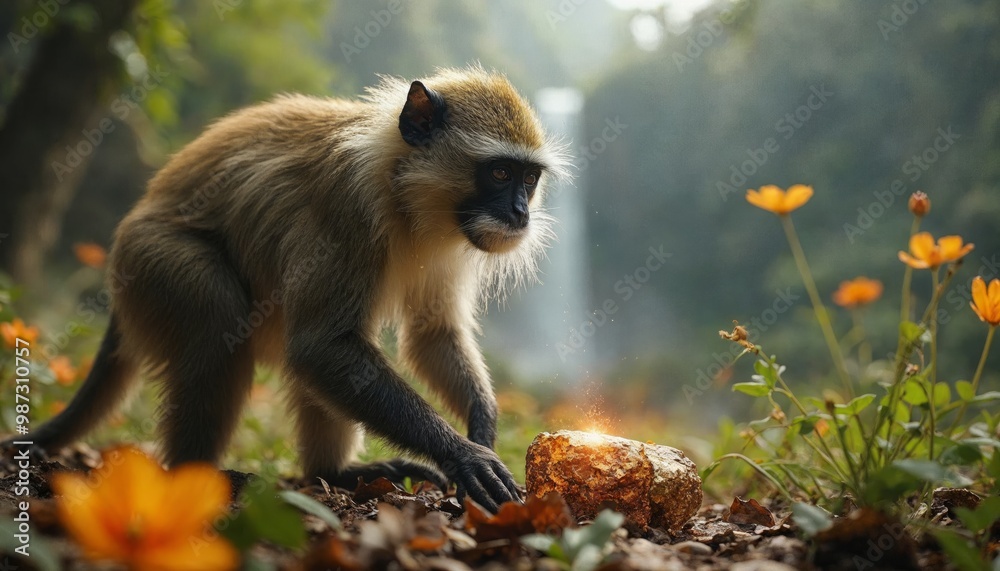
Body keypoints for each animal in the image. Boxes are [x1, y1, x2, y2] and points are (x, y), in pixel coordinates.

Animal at [14, 67, 568, 512]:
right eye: (500, 172)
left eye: (529, 179)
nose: (519, 214)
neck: (401, 188)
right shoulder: (347, 205)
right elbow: (321, 347)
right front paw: (462, 453)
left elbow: (429, 334)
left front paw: (482, 427)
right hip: (150, 260)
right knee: (220, 321)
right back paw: (197, 480)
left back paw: (334, 474)